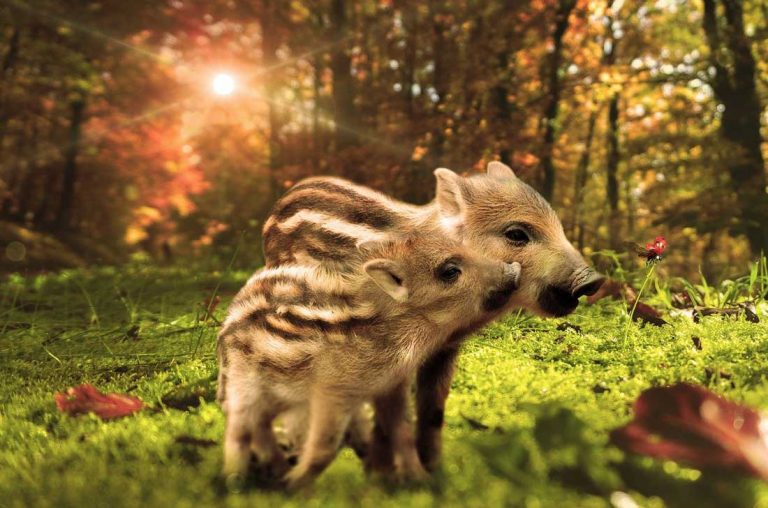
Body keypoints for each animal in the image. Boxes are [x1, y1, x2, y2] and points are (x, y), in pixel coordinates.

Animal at [217, 232, 522, 489]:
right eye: (449, 271)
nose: (513, 269)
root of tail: (229, 321)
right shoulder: (333, 390)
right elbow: (325, 447)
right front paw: (295, 487)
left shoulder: (392, 386)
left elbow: (402, 432)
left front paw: (419, 480)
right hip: (244, 383)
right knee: (238, 429)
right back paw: (237, 481)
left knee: (261, 425)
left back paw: (275, 472)